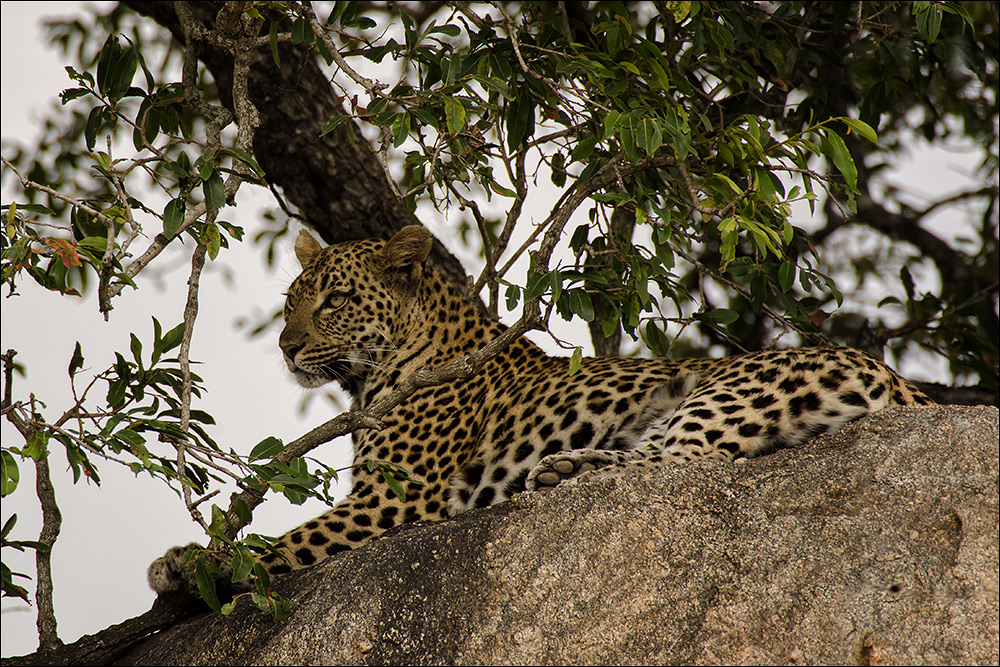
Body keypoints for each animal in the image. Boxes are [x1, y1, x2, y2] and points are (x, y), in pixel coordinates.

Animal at [148, 224, 934, 594]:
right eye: (290, 300)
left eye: (334, 300)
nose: (287, 344)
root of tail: (902, 381)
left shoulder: (394, 500)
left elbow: (280, 543)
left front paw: (191, 562)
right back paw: (559, 472)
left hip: (734, 386)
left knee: (683, 462)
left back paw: (561, 472)